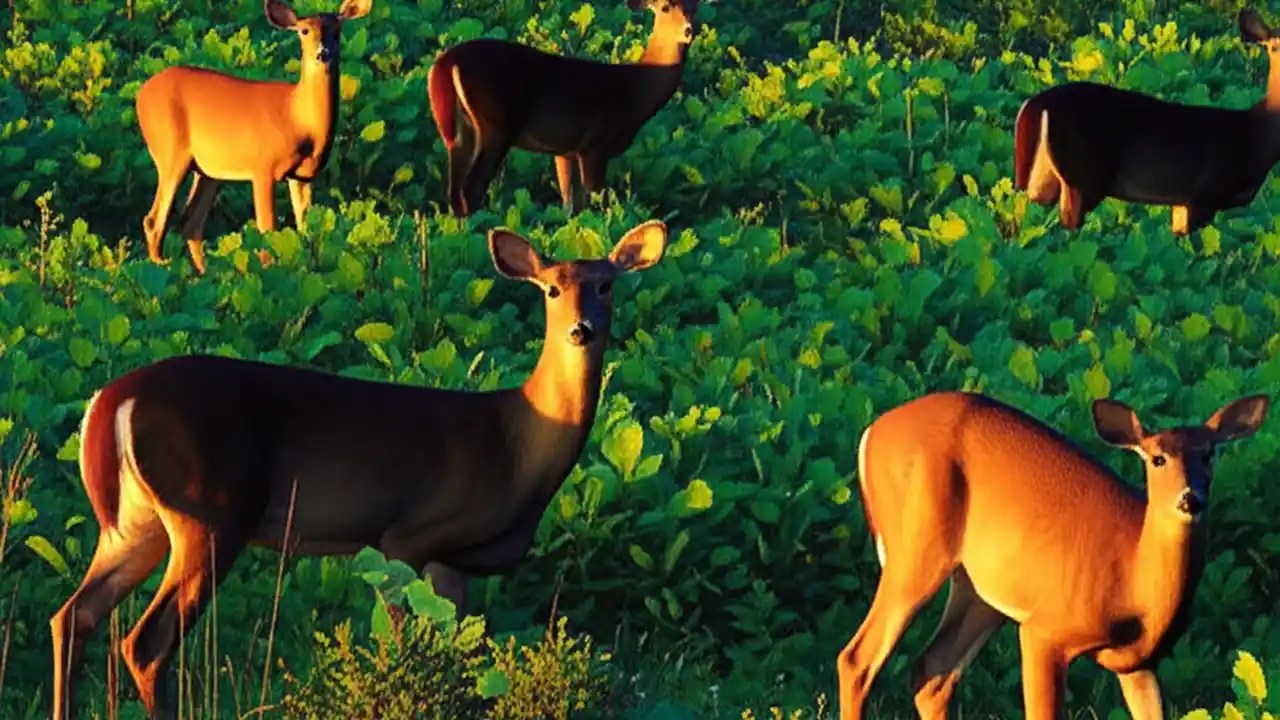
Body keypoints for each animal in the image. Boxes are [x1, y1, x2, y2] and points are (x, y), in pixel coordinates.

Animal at [48, 220, 669, 720]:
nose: (581, 329)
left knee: (72, 616)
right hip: (210, 511)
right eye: (552, 288)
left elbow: (459, 655)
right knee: (145, 643)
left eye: (606, 283)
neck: (519, 443)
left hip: (136, 524)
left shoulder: (454, 561)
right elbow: (402, 649)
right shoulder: (407, 535)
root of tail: (110, 402)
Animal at [133, 0, 372, 275]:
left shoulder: (303, 176)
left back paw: (203, 275)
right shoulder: (263, 167)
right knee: (154, 220)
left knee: (190, 222)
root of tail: (141, 94)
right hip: (170, 151)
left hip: (208, 170)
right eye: (304, 31)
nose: (323, 54)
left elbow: (306, 229)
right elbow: (267, 231)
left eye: (337, 31)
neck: (298, 117)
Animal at [427, 0, 698, 217]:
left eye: (694, 7)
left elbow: (571, 206)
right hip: (496, 125)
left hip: (459, 132)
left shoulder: (566, 150)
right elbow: (595, 202)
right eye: (665, 7)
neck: (635, 90)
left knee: (455, 191)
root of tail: (445, 64)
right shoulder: (595, 147)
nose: (688, 31)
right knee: (471, 188)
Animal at [839, 391, 1270, 720]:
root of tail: (871, 432)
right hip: (916, 548)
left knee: (932, 673)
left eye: (1210, 453)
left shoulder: (1140, 664)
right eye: (1157, 458)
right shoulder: (1045, 629)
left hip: (981, 588)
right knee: (857, 660)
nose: (1190, 499)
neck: (1135, 582)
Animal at [1013, 8, 1280, 235]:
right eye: (1275, 47)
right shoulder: (1205, 192)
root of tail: (1035, 105)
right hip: (1083, 174)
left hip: (1041, 180)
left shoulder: (1183, 201)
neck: (1256, 134)